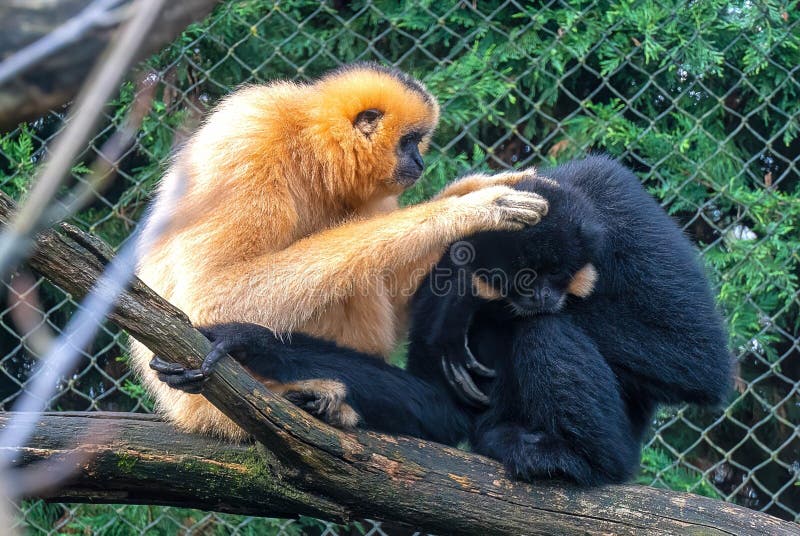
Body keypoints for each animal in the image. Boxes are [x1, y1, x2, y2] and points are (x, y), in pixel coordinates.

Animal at [131, 62, 549, 441]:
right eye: (410, 141)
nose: (421, 161)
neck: (310, 147)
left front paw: (477, 188)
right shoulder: (248, 146)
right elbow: (213, 293)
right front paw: (468, 209)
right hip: (199, 405)